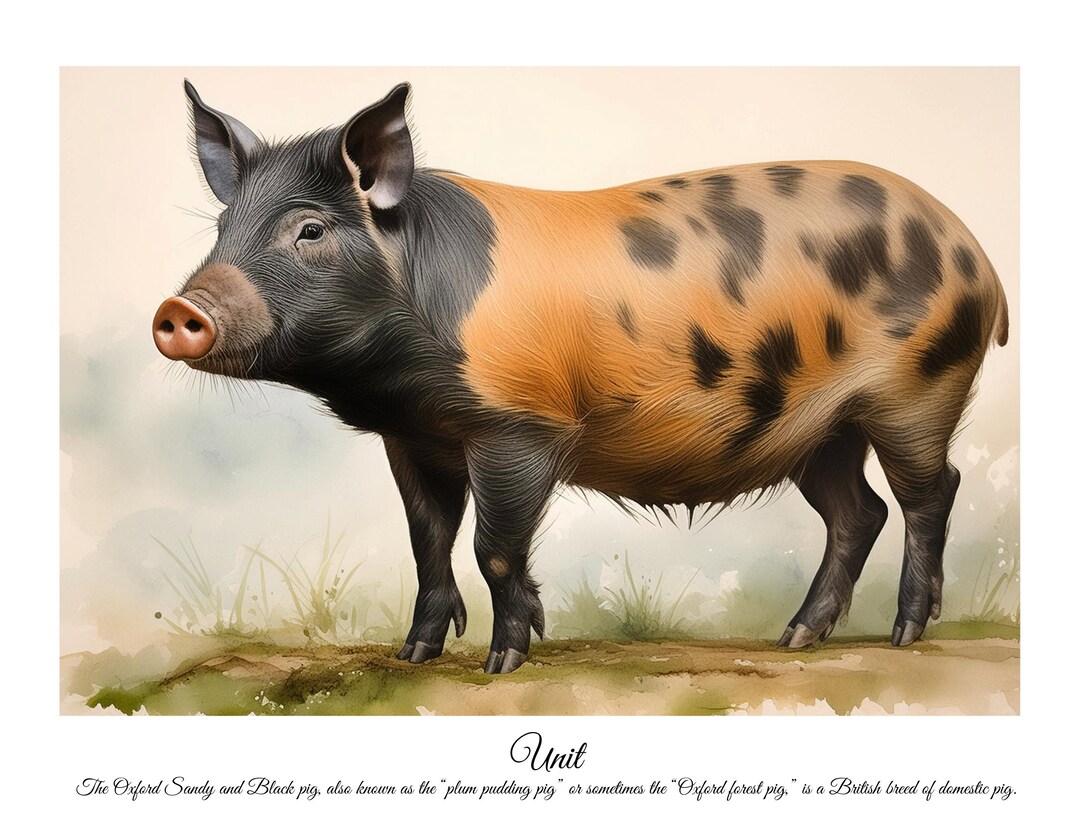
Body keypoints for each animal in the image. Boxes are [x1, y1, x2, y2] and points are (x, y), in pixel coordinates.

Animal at [153, 81, 1009, 674]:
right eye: (225, 226)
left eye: (310, 229)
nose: (177, 308)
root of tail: (977, 256)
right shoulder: (415, 435)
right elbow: (428, 541)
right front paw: (413, 657)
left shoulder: (520, 426)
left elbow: (494, 547)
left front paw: (503, 663)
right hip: (818, 427)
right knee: (859, 512)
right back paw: (795, 639)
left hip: (918, 391)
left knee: (931, 493)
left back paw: (902, 635)